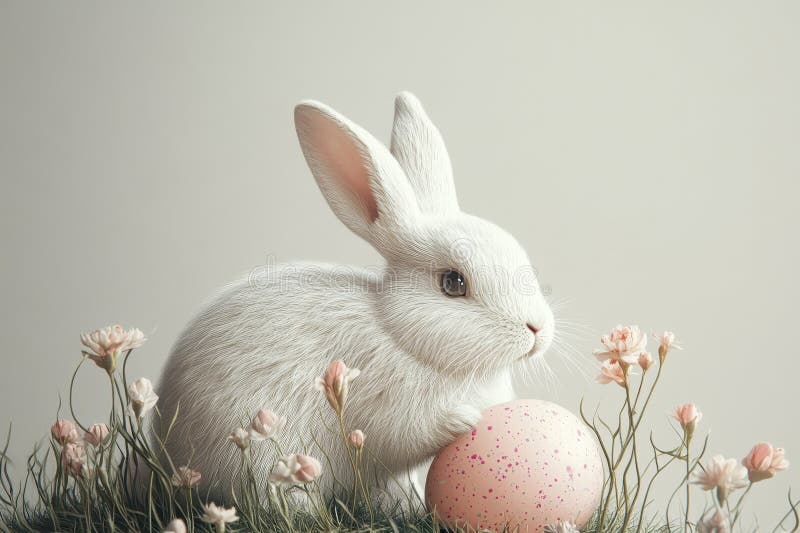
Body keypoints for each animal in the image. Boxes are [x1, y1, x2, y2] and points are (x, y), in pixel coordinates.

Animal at [152, 91, 555, 507]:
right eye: (453, 283)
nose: (536, 329)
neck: (401, 337)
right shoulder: (382, 403)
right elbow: (406, 433)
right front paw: (466, 419)